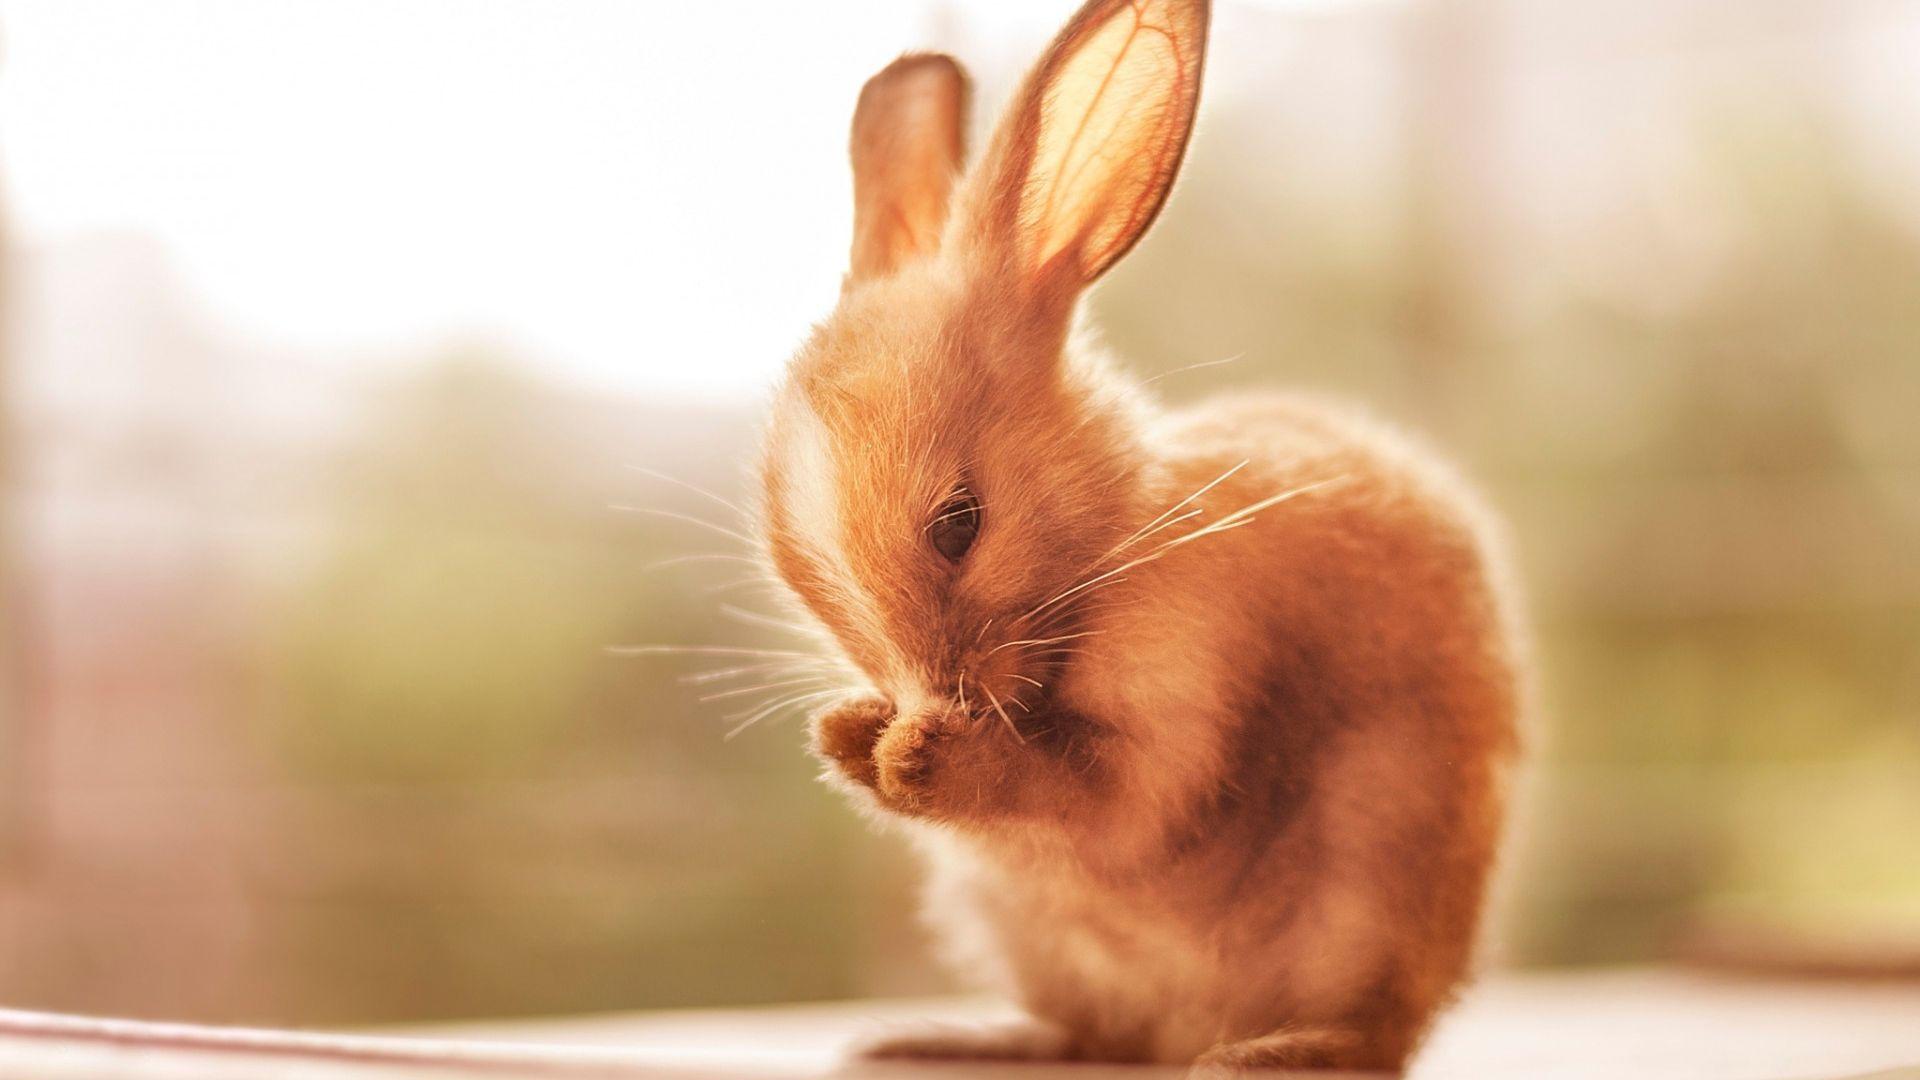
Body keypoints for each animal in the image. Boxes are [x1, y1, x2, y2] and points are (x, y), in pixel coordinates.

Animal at [754, 0, 1524, 1073]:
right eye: (795, 573)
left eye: (959, 524)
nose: (930, 694)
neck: (1117, 540)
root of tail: (1187, 1028)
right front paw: (852, 734)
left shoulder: (1180, 696)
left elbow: (1108, 803)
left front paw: (913, 757)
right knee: (1089, 1031)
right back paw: (938, 1040)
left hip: (1373, 870)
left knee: (1374, 1031)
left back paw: (1268, 1052)